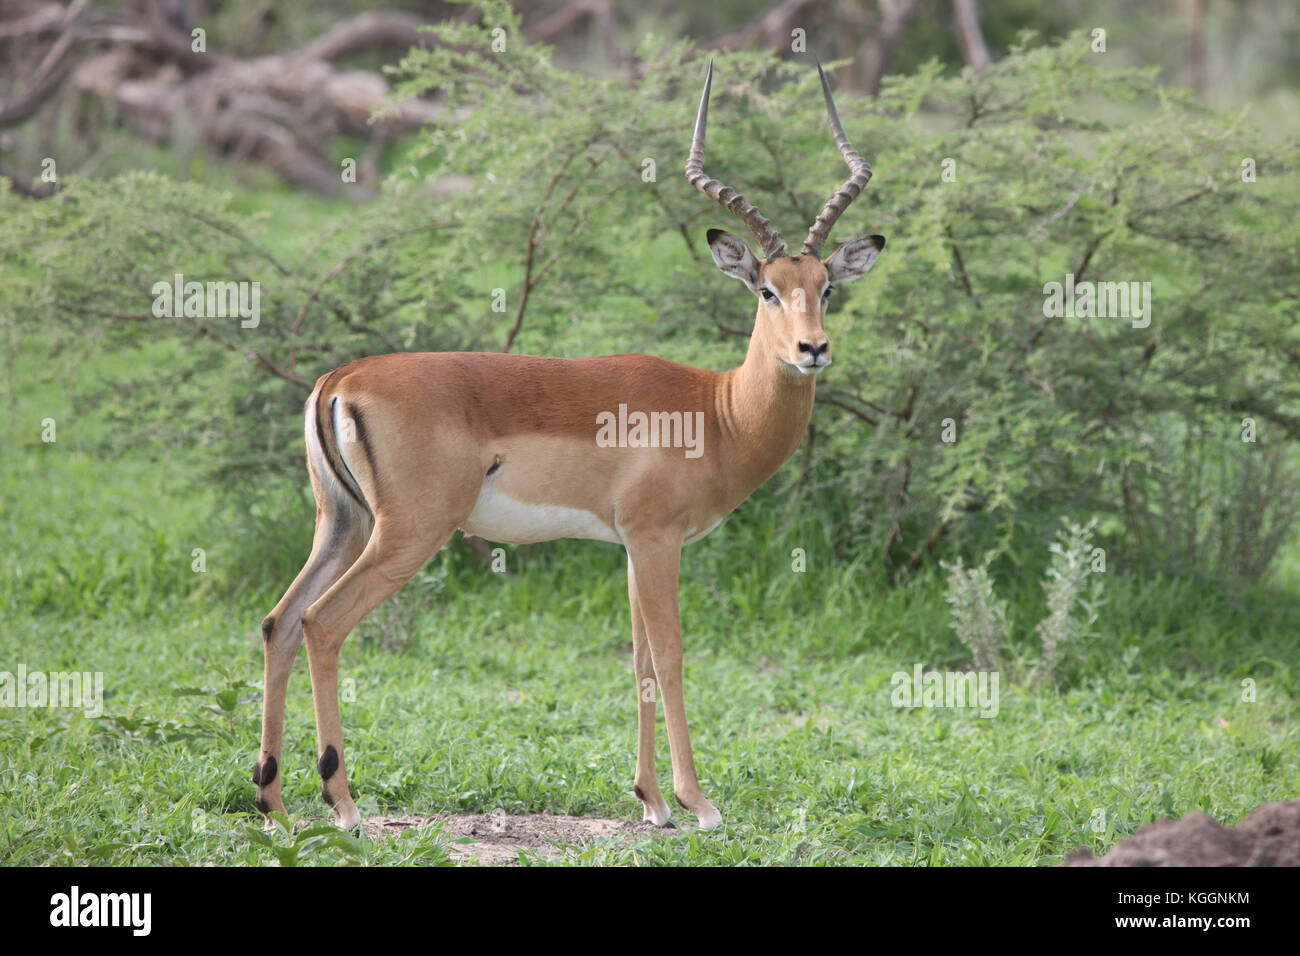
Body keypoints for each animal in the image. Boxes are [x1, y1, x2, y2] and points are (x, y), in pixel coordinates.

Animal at [253, 60, 885, 831]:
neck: (718, 410)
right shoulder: (656, 539)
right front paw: (697, 803)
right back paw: (341, 802)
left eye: (826, 287)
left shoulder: (631, 547)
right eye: (766, 289)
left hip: (342, 523)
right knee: (323, 623)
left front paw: (652, 803)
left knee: (280, 620)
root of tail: (340, 379)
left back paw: (273, 801)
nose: (812, 349)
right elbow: (670, 656)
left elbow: (639, 662)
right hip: (407, 533)